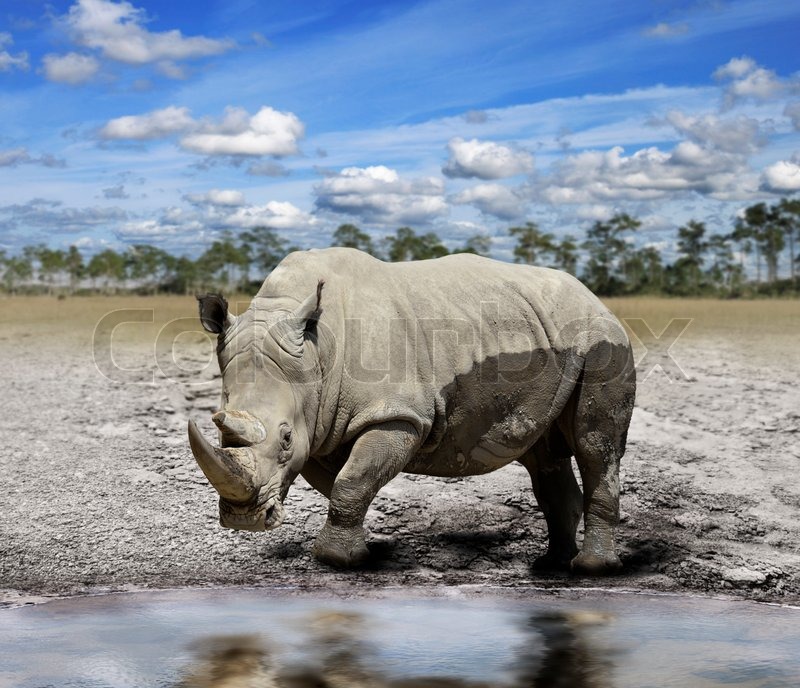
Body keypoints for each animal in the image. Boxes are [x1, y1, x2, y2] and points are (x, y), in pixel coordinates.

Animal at [188, 247, 635, 573]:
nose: (244, 519)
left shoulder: (397, 415)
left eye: (284, 439)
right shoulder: (317, 428)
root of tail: (595, 298)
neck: (318, 353)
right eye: (219, 427)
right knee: (545, 458)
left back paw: (591, 569)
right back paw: (551, 564)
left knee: (596, 448)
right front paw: (362, 553)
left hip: (603, 341)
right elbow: (344, 485)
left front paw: (337, 560)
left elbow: (353, 481)